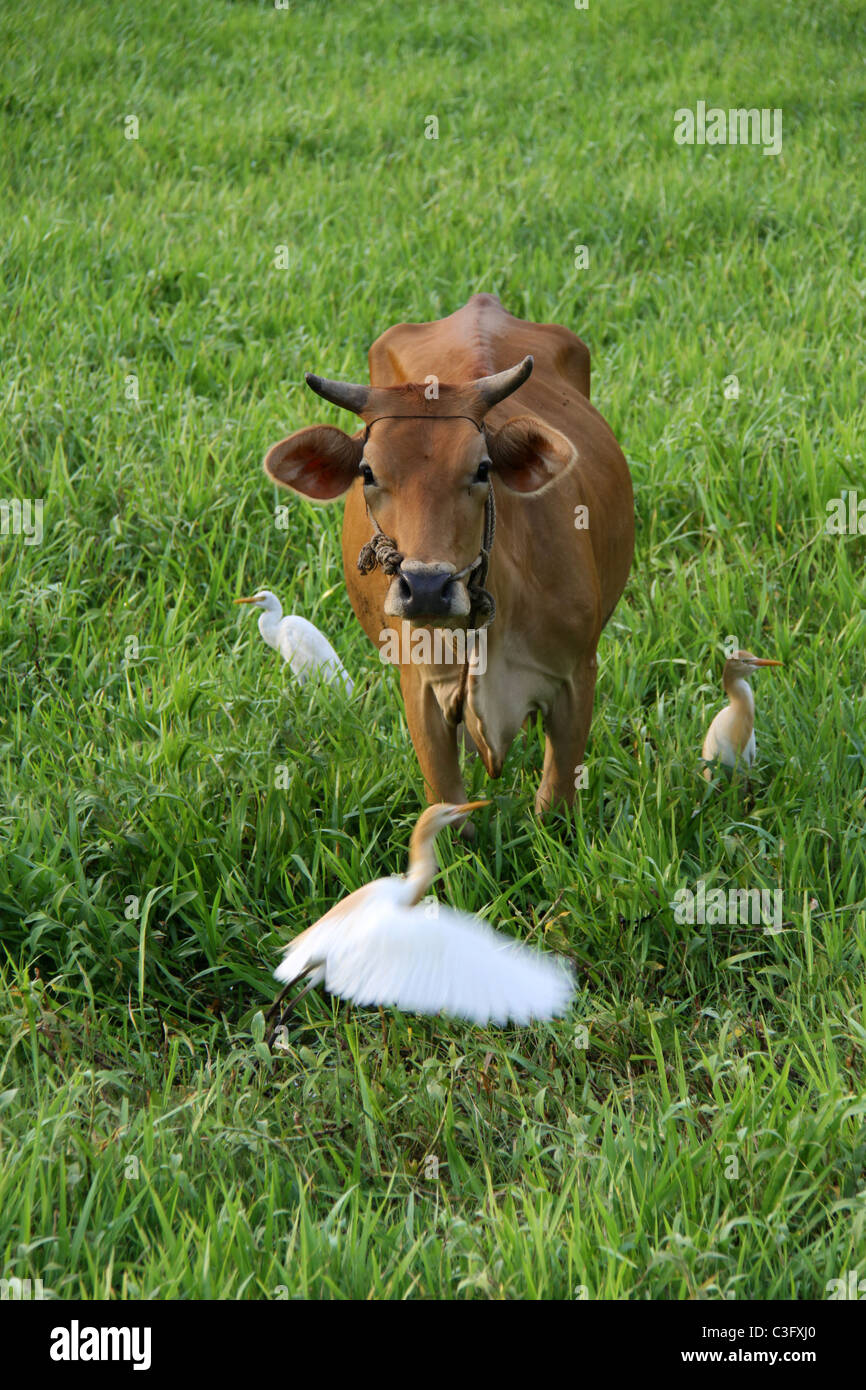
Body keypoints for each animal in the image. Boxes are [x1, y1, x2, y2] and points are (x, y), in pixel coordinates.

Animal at [263, 294, 633, 818]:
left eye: (482, 468)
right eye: (367, 472)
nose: (426, 589)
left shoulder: (577, 679)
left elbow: (555, 807)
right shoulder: (419, 692)